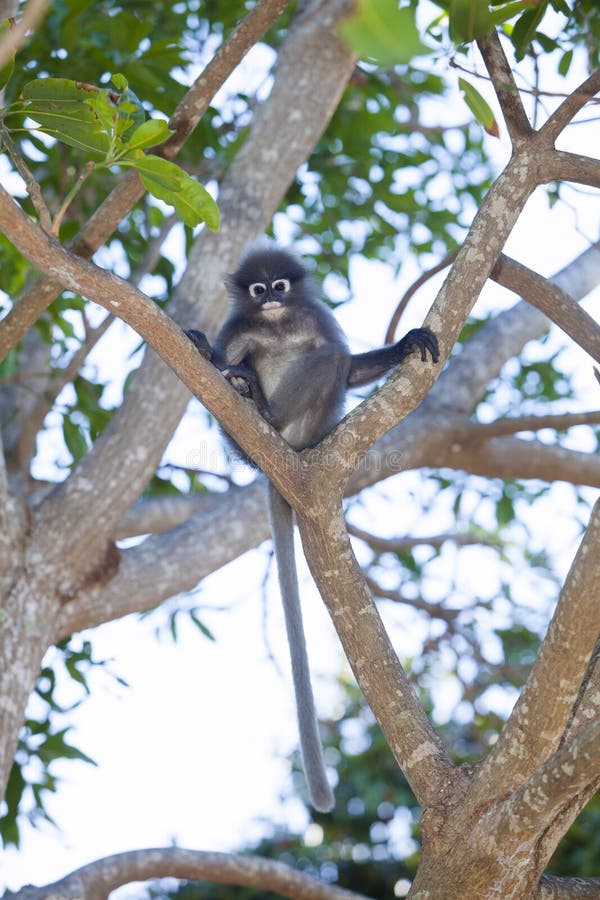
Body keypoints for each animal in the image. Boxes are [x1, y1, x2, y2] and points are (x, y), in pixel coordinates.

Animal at [186, 243, 439, 812]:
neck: (277, 325)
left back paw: (269, 413)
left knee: (331, 362)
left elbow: (343, 361)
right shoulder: (239, 325)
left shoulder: (315, 319)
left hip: (311, 424)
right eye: (258, 290)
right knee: (241, 370)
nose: (270, 299)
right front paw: (205, 350)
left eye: (280, 286)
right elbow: (222, 354)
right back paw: (250, 397)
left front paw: (404, 345)